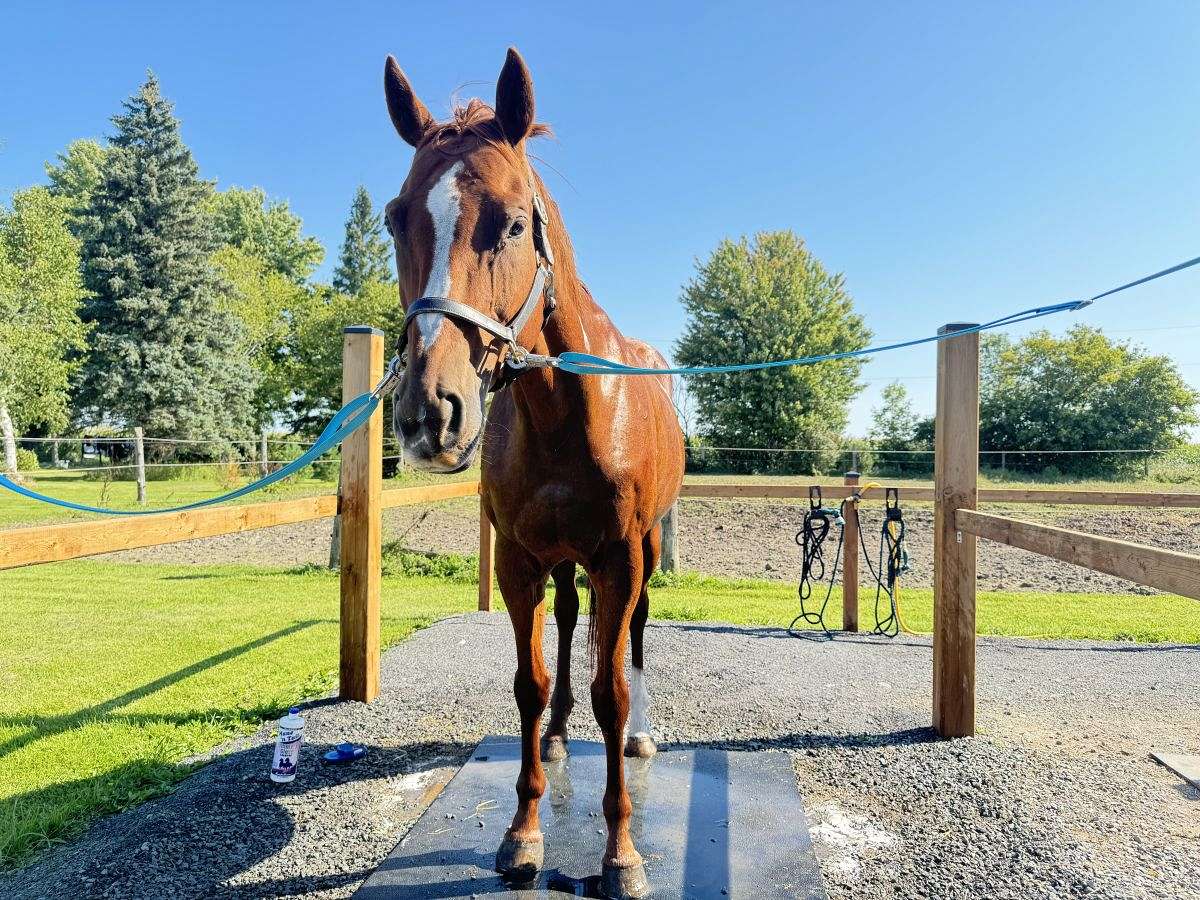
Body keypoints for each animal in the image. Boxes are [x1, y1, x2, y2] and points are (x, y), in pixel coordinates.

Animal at [382, 47, 684, 900]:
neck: (562, 410)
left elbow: (612, 690)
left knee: (633, 638)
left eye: (513, 222)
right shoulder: (520, 560)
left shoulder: (620, 556)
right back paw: (555, 735)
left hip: (646, 549)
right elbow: (531, 682)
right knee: (572, 623)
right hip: (562, 561)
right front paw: (522, 831)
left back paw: (643, 735)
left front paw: (621, 852)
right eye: (395, 217)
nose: (429, 412)